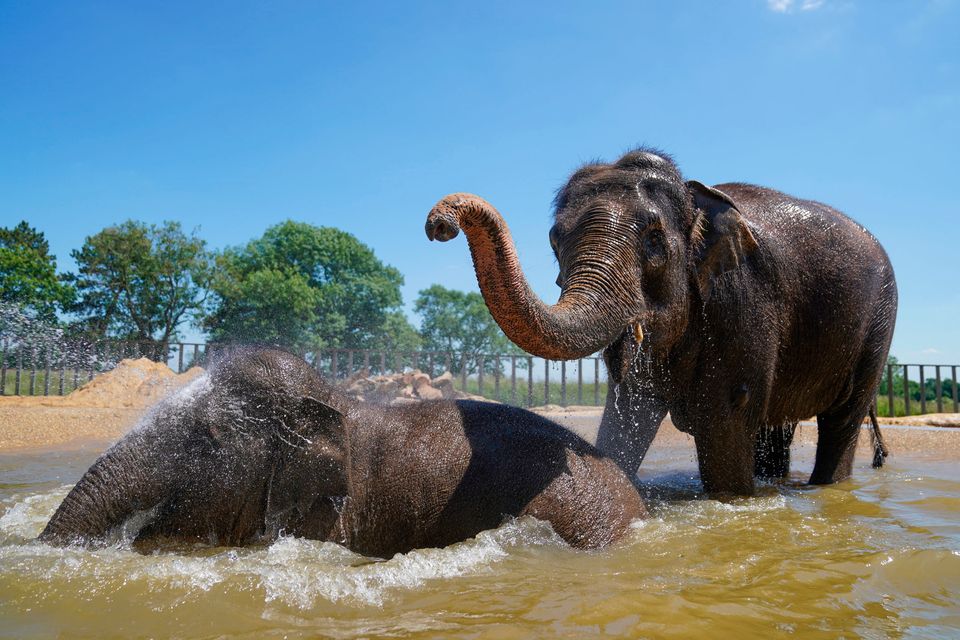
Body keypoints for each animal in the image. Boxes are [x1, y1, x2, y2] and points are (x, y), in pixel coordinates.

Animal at [425, 147, 897, 495]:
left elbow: (726, 417)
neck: (695, 198)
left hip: (879, 322)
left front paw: (732, 500)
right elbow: (628, 412)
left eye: (654, 241)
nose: (438, 225)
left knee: (841, 420)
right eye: (555, 240)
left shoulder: (742, 300)